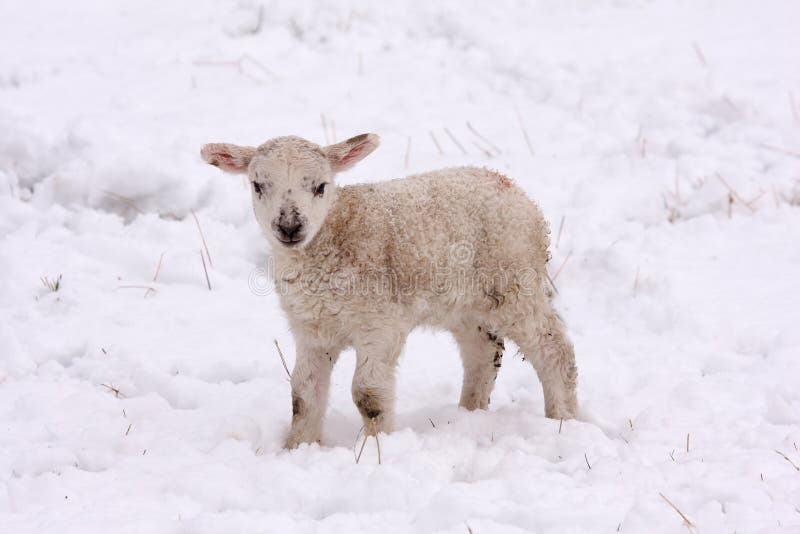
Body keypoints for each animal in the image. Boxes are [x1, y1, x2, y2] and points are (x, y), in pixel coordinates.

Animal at [199, 133, 576, 448]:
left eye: (321, 186)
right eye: (258, 185)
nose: (290, 226)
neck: (334, 235)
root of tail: (513, 189)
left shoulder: (379, 323)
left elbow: (368, 395)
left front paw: (375, 449)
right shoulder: (311, 328)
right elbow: (302, 395)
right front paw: (300, 447)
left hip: (514, 282)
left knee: (554, 349)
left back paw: (563, 419)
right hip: (465, 304)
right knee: (482, 353)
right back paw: (468, 414)